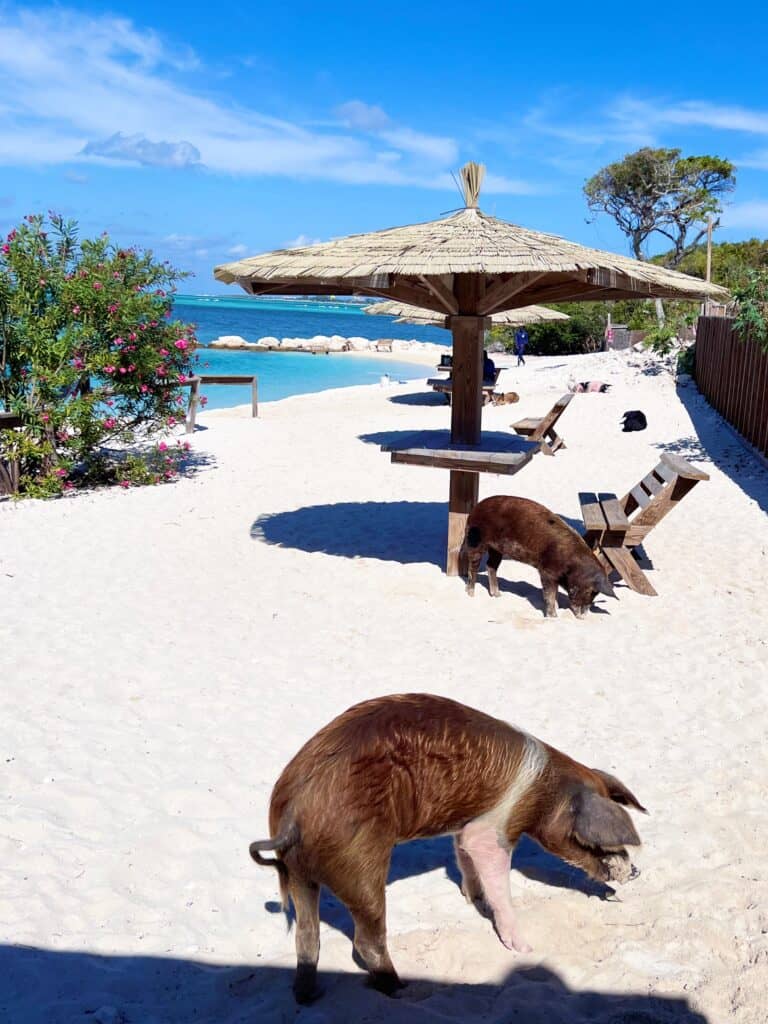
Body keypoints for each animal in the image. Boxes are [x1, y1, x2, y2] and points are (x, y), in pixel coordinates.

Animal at [250, 693, 646, 1003]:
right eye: (590, 840)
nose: (635, 872)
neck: (542, 792)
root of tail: (294, 815)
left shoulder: (464, 826)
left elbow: (464, 857)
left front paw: (475, 899)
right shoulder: (490, 829)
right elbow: (494, 876)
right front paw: (525, 949)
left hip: (297, 874)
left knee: (306, 937)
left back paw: (309, 996)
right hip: (361, 867)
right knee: (366, 941)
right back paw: (402, 989)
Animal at [462, 495, 615, 617]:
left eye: (594, 595)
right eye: (589, 592)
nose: (583, 617)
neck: (572, 565)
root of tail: (475, 509)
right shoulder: (547, 571)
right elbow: (549, 594)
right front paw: (553, 617)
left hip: (496, 549)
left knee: (491, 565)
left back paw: (497, 595)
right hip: (476, 539)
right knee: (473, 565)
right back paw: (471, 594)